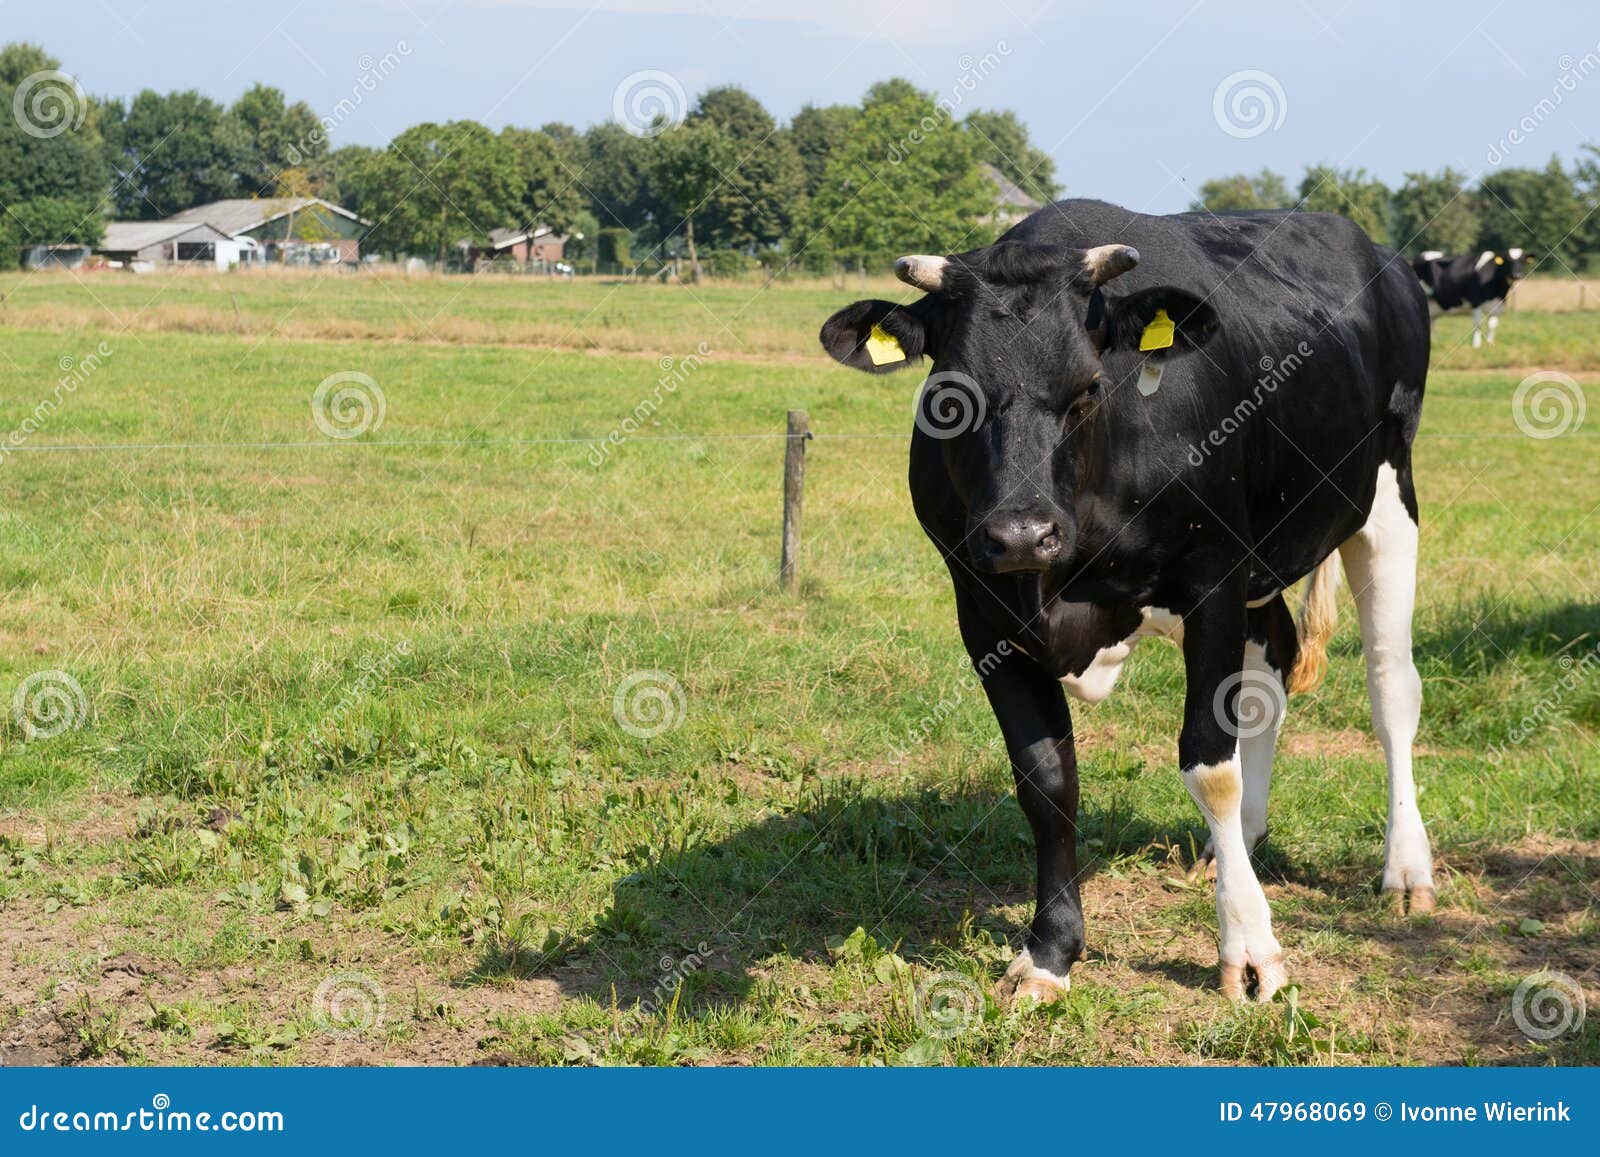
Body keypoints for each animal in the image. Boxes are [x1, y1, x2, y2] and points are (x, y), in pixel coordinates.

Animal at [820, 200, 1435, 1003]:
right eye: (950, 398)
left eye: (1087, 387)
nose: (1023, 533)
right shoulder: (981, 609)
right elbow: (1046, 779)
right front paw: (1049, 952)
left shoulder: (1213, 578)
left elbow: (1210, 763)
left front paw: (1249, 950)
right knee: (1269, 676)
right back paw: (1241, 844)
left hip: (1386, 499)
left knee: (1391, 687)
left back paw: (1406, 867)